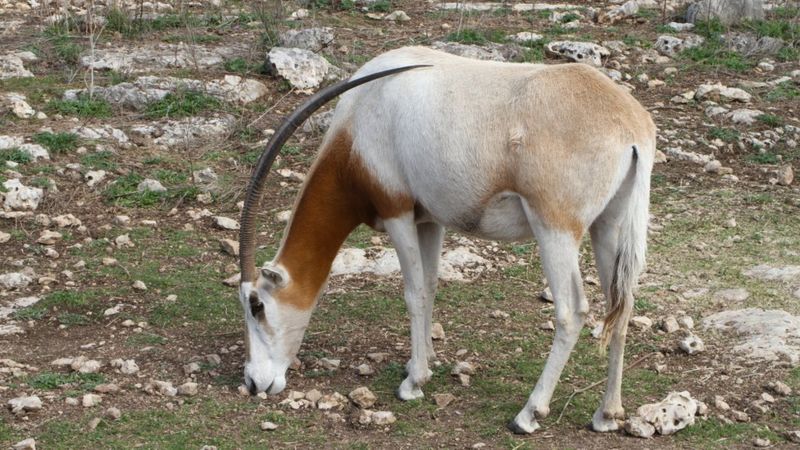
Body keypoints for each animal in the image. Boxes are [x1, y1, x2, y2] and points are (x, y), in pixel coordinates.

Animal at [238, 46, 656, 434]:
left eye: (256, 305)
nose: (254, 382)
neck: (358, 122)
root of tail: (631, 128)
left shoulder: (397, 211)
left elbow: (413, 292)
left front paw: (413, 382)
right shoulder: (429, 219)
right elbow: (431, 284)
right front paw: (421, 361)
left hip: (554, 229)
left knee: (572, 312)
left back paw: (528, 413)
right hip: (608, 225)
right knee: (621, 305)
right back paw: (607, 414)